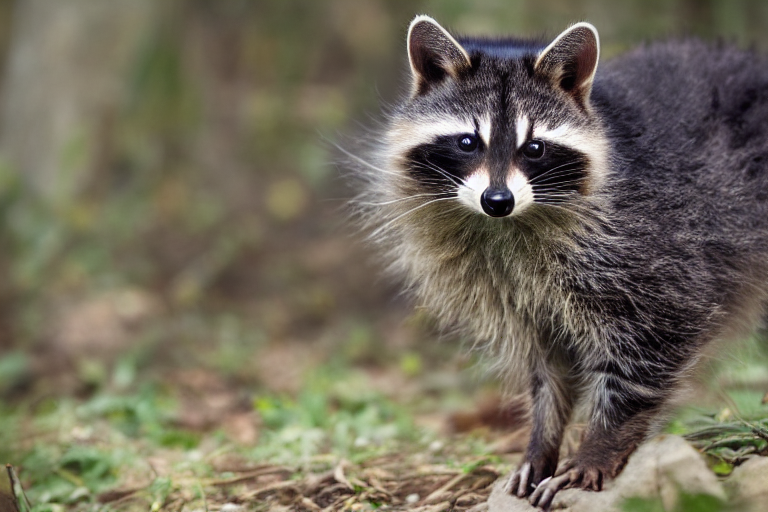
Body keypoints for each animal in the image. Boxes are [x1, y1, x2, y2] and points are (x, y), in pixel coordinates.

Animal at [350, 15, 768, 508]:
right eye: (468, 142)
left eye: (534, 148)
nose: (497, 200)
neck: (508, 226)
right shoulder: (515, 292)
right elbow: (548, 370)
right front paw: (543, 439)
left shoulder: (653, 249)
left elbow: (651, 348)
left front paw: (599, 446)